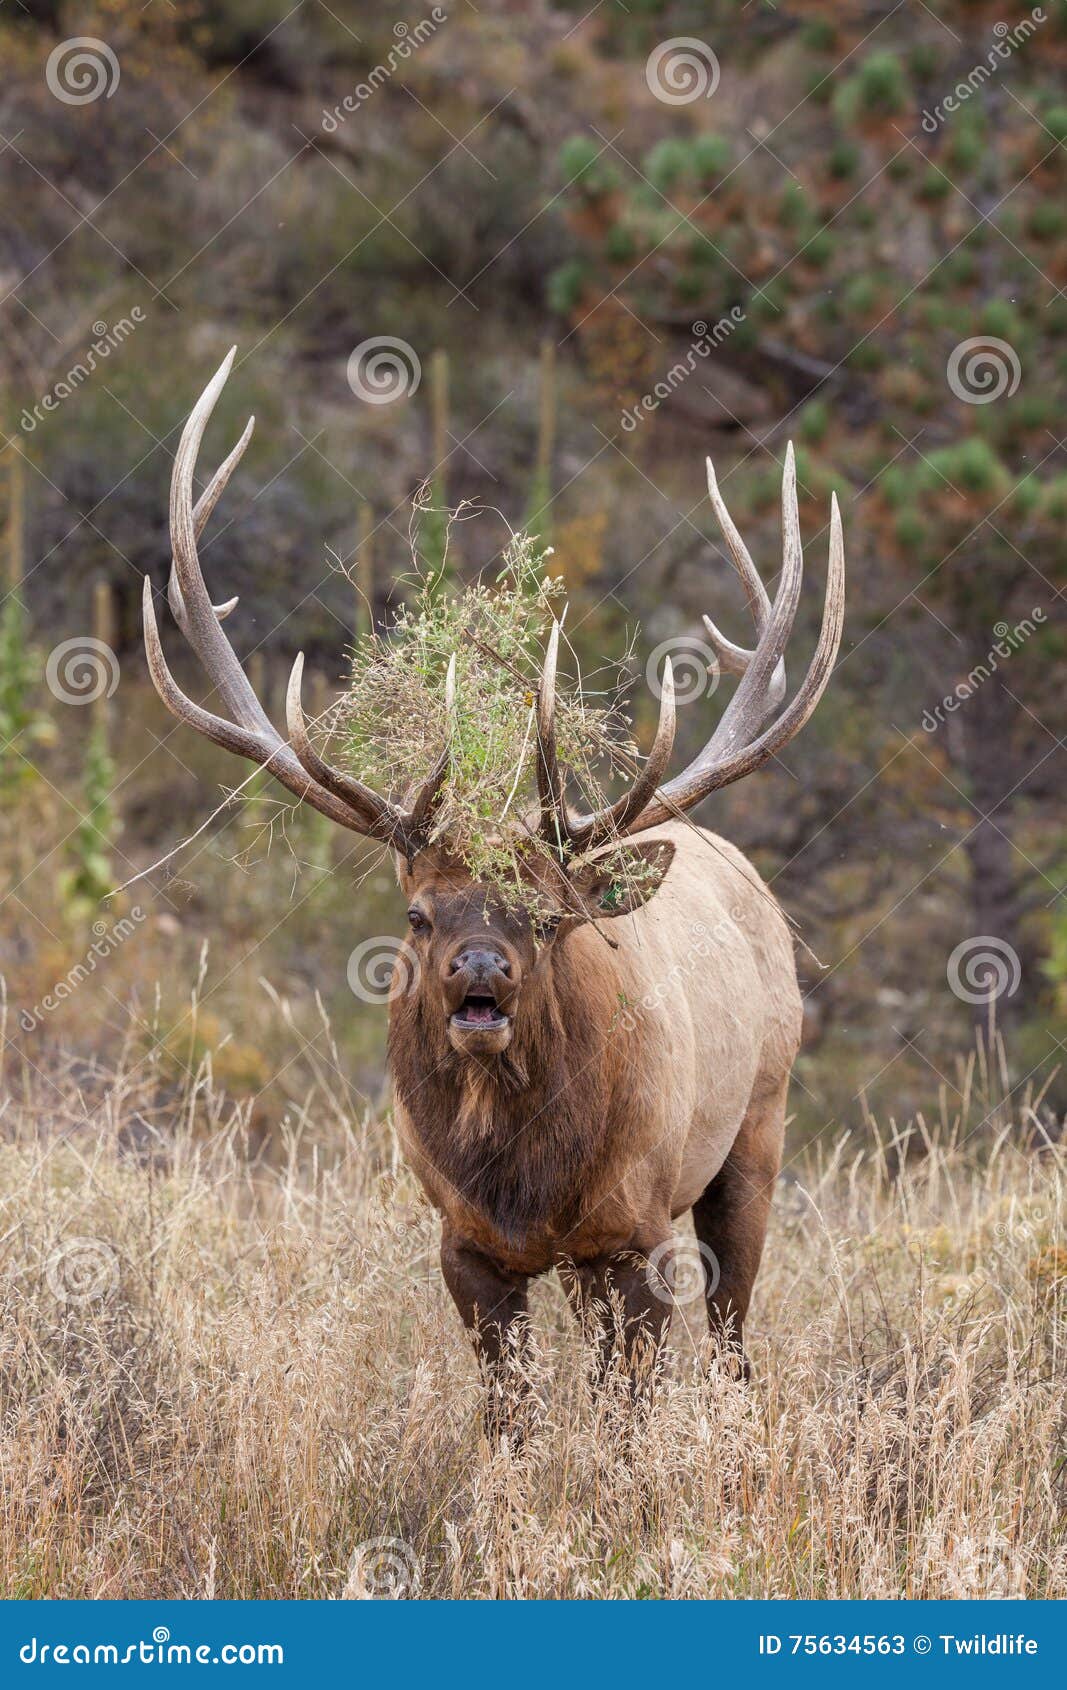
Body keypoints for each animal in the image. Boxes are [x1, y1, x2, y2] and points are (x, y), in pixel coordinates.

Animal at [143, 350, 844, 1430]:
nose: (481, 972)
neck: (527, 1182)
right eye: (417, 913)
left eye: (550, 919)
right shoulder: (464, 1240)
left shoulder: (634, 1231)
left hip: (755, 1126)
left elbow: (627, 1414)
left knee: (734, 1329)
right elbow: (509, 1419)